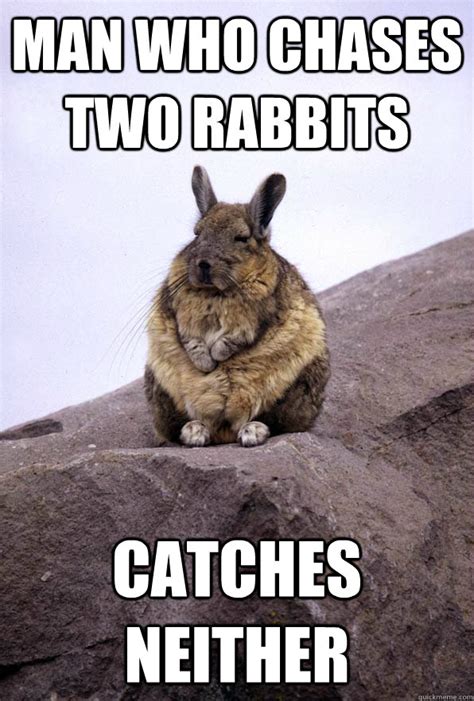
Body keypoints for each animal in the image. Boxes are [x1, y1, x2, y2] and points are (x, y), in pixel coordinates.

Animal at [145, 166, 329, 447]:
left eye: (241, 238)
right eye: (197, 233)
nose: (203, 263)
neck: (215, 293)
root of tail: (224, 432)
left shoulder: (258, 316)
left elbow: (234, 340)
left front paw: (216, 357)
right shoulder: (177, 311)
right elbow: (191, 340)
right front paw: (205, 364)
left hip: (293, 387)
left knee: (270, 423)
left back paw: (252, 433)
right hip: (162, 390)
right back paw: (194, 432)